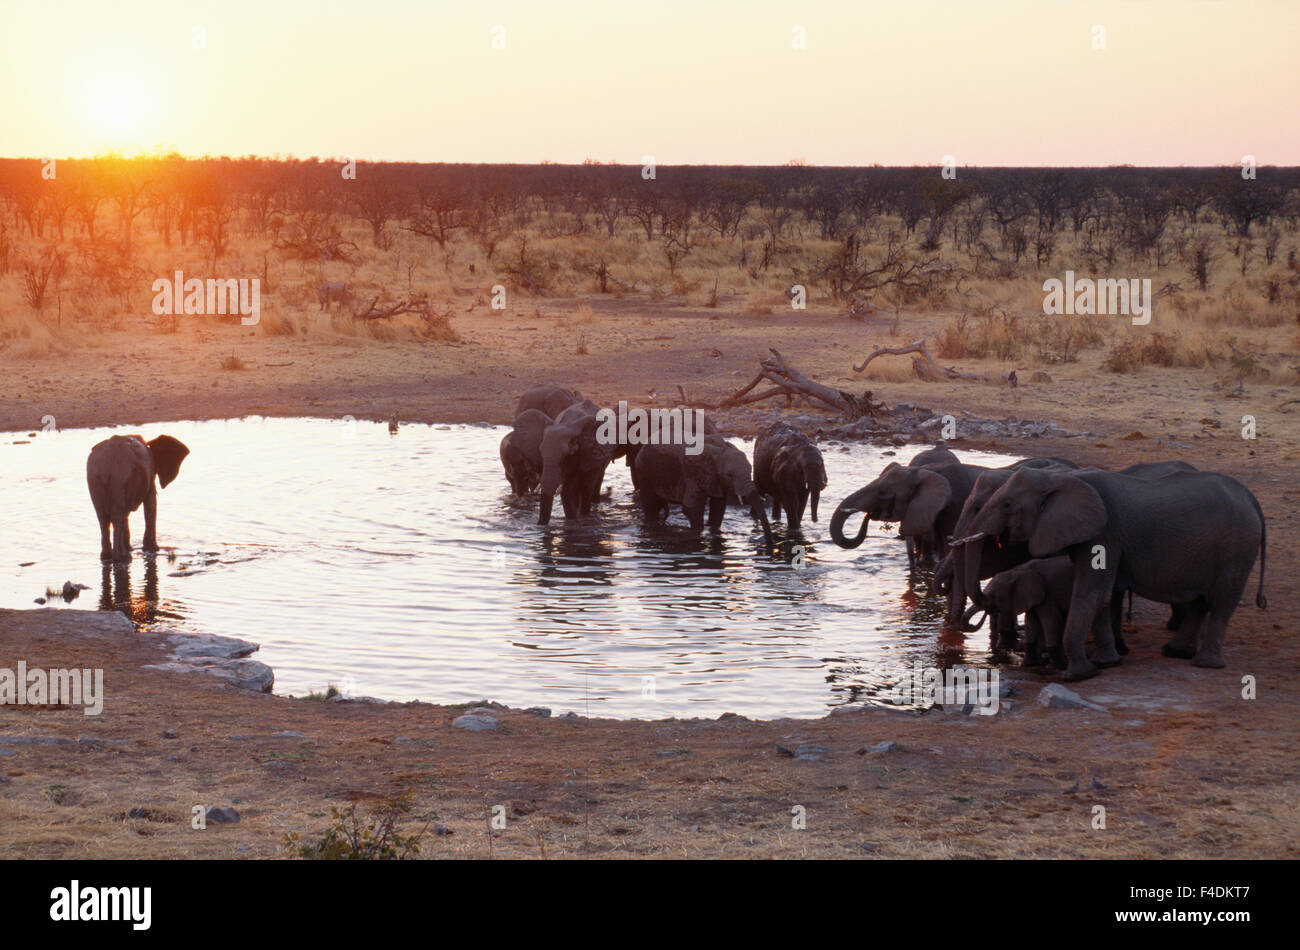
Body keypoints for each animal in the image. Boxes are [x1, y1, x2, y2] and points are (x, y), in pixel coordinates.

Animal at [86, 434, 190, 563]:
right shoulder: (150, 472)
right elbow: (151, 504)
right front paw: (153, 549)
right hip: (118, 478)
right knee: (117, 515)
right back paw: (123, 558)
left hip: (95, 481)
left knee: (104, 517)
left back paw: (108, 557)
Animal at [633, 435, 774, 547]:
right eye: (730, 475)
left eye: (750, 470)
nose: (768, 543)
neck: (719, 451)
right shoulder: (692, 475)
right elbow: (691, 508)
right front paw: (697, 534)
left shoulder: (716, 479)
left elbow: (718, 506)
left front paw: (714, 531)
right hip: (644, 472)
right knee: (650, 504)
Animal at [952, 466, 1266, 679]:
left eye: (1007, 505)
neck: (1060, 478)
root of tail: (1251, 498)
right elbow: (1102, 597)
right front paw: (1107, 663)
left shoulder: (1104, 532)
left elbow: (1091, 593)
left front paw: (1078, 675)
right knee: (1201, 601)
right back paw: (1175, 653)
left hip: (1238, 548)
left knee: (1222, 600)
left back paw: (1205, 663)